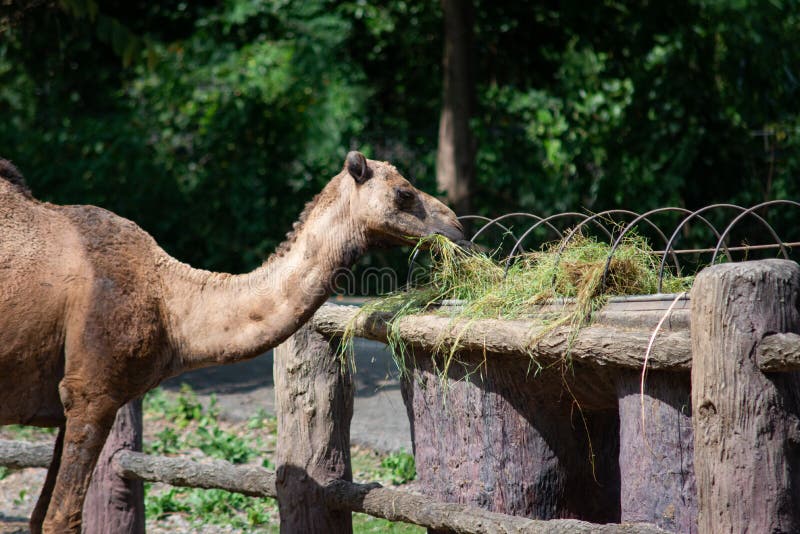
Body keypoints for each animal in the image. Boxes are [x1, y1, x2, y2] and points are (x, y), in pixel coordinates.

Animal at [0, 151, 464, 533]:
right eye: (404, 193)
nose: (457, 227)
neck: (172, 307)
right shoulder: (91, 394)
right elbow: (60, 520)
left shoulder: (68, 406)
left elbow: (39, 517)